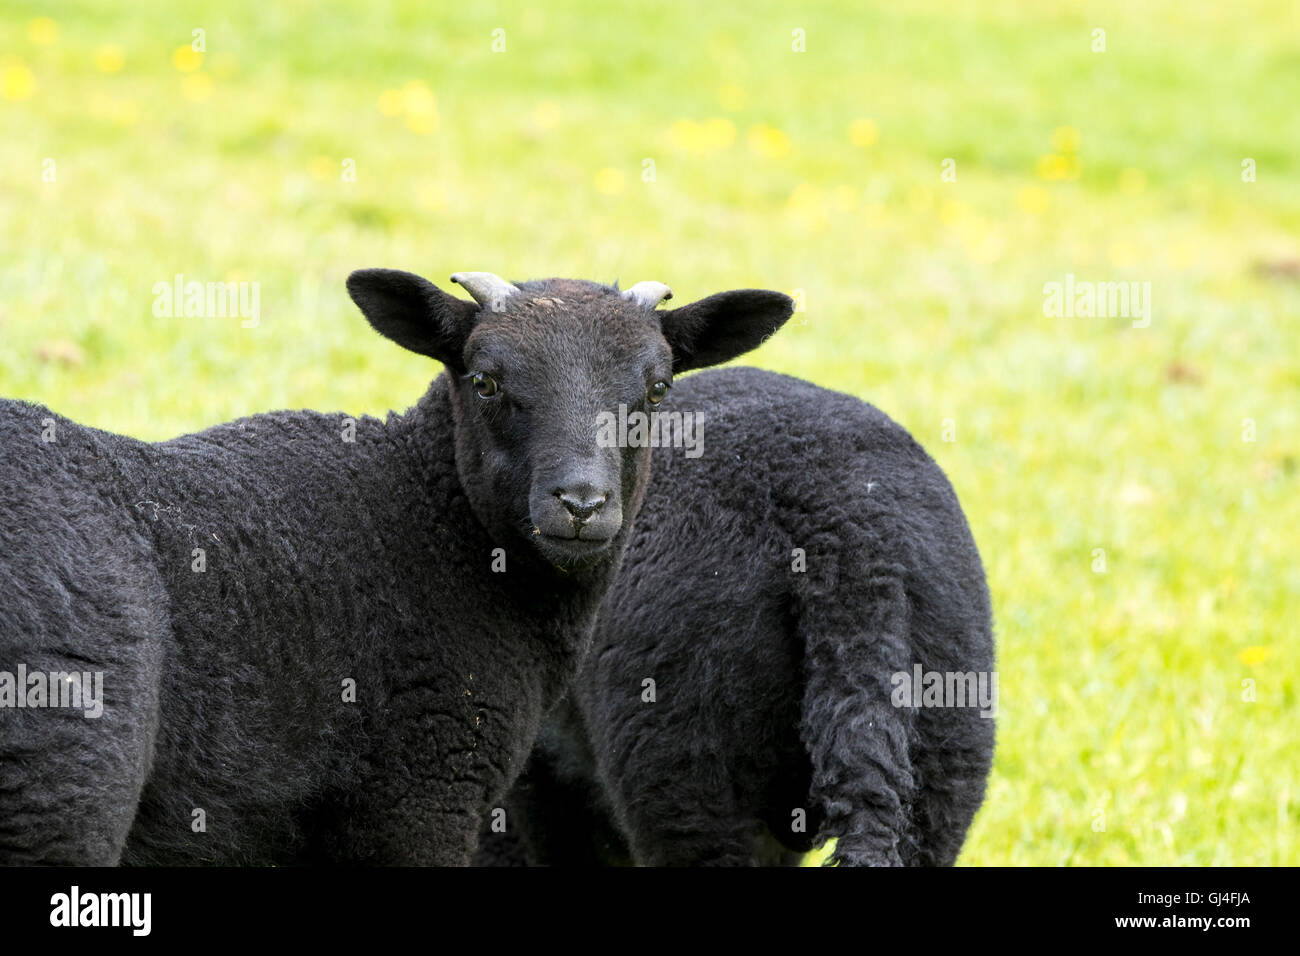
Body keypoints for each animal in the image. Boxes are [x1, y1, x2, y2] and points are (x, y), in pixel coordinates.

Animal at [0, 270, 794, 865]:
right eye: (485, 381)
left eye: (657, 389)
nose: (582, 503)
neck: (425, 519)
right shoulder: (419, 796)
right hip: (59, 781)